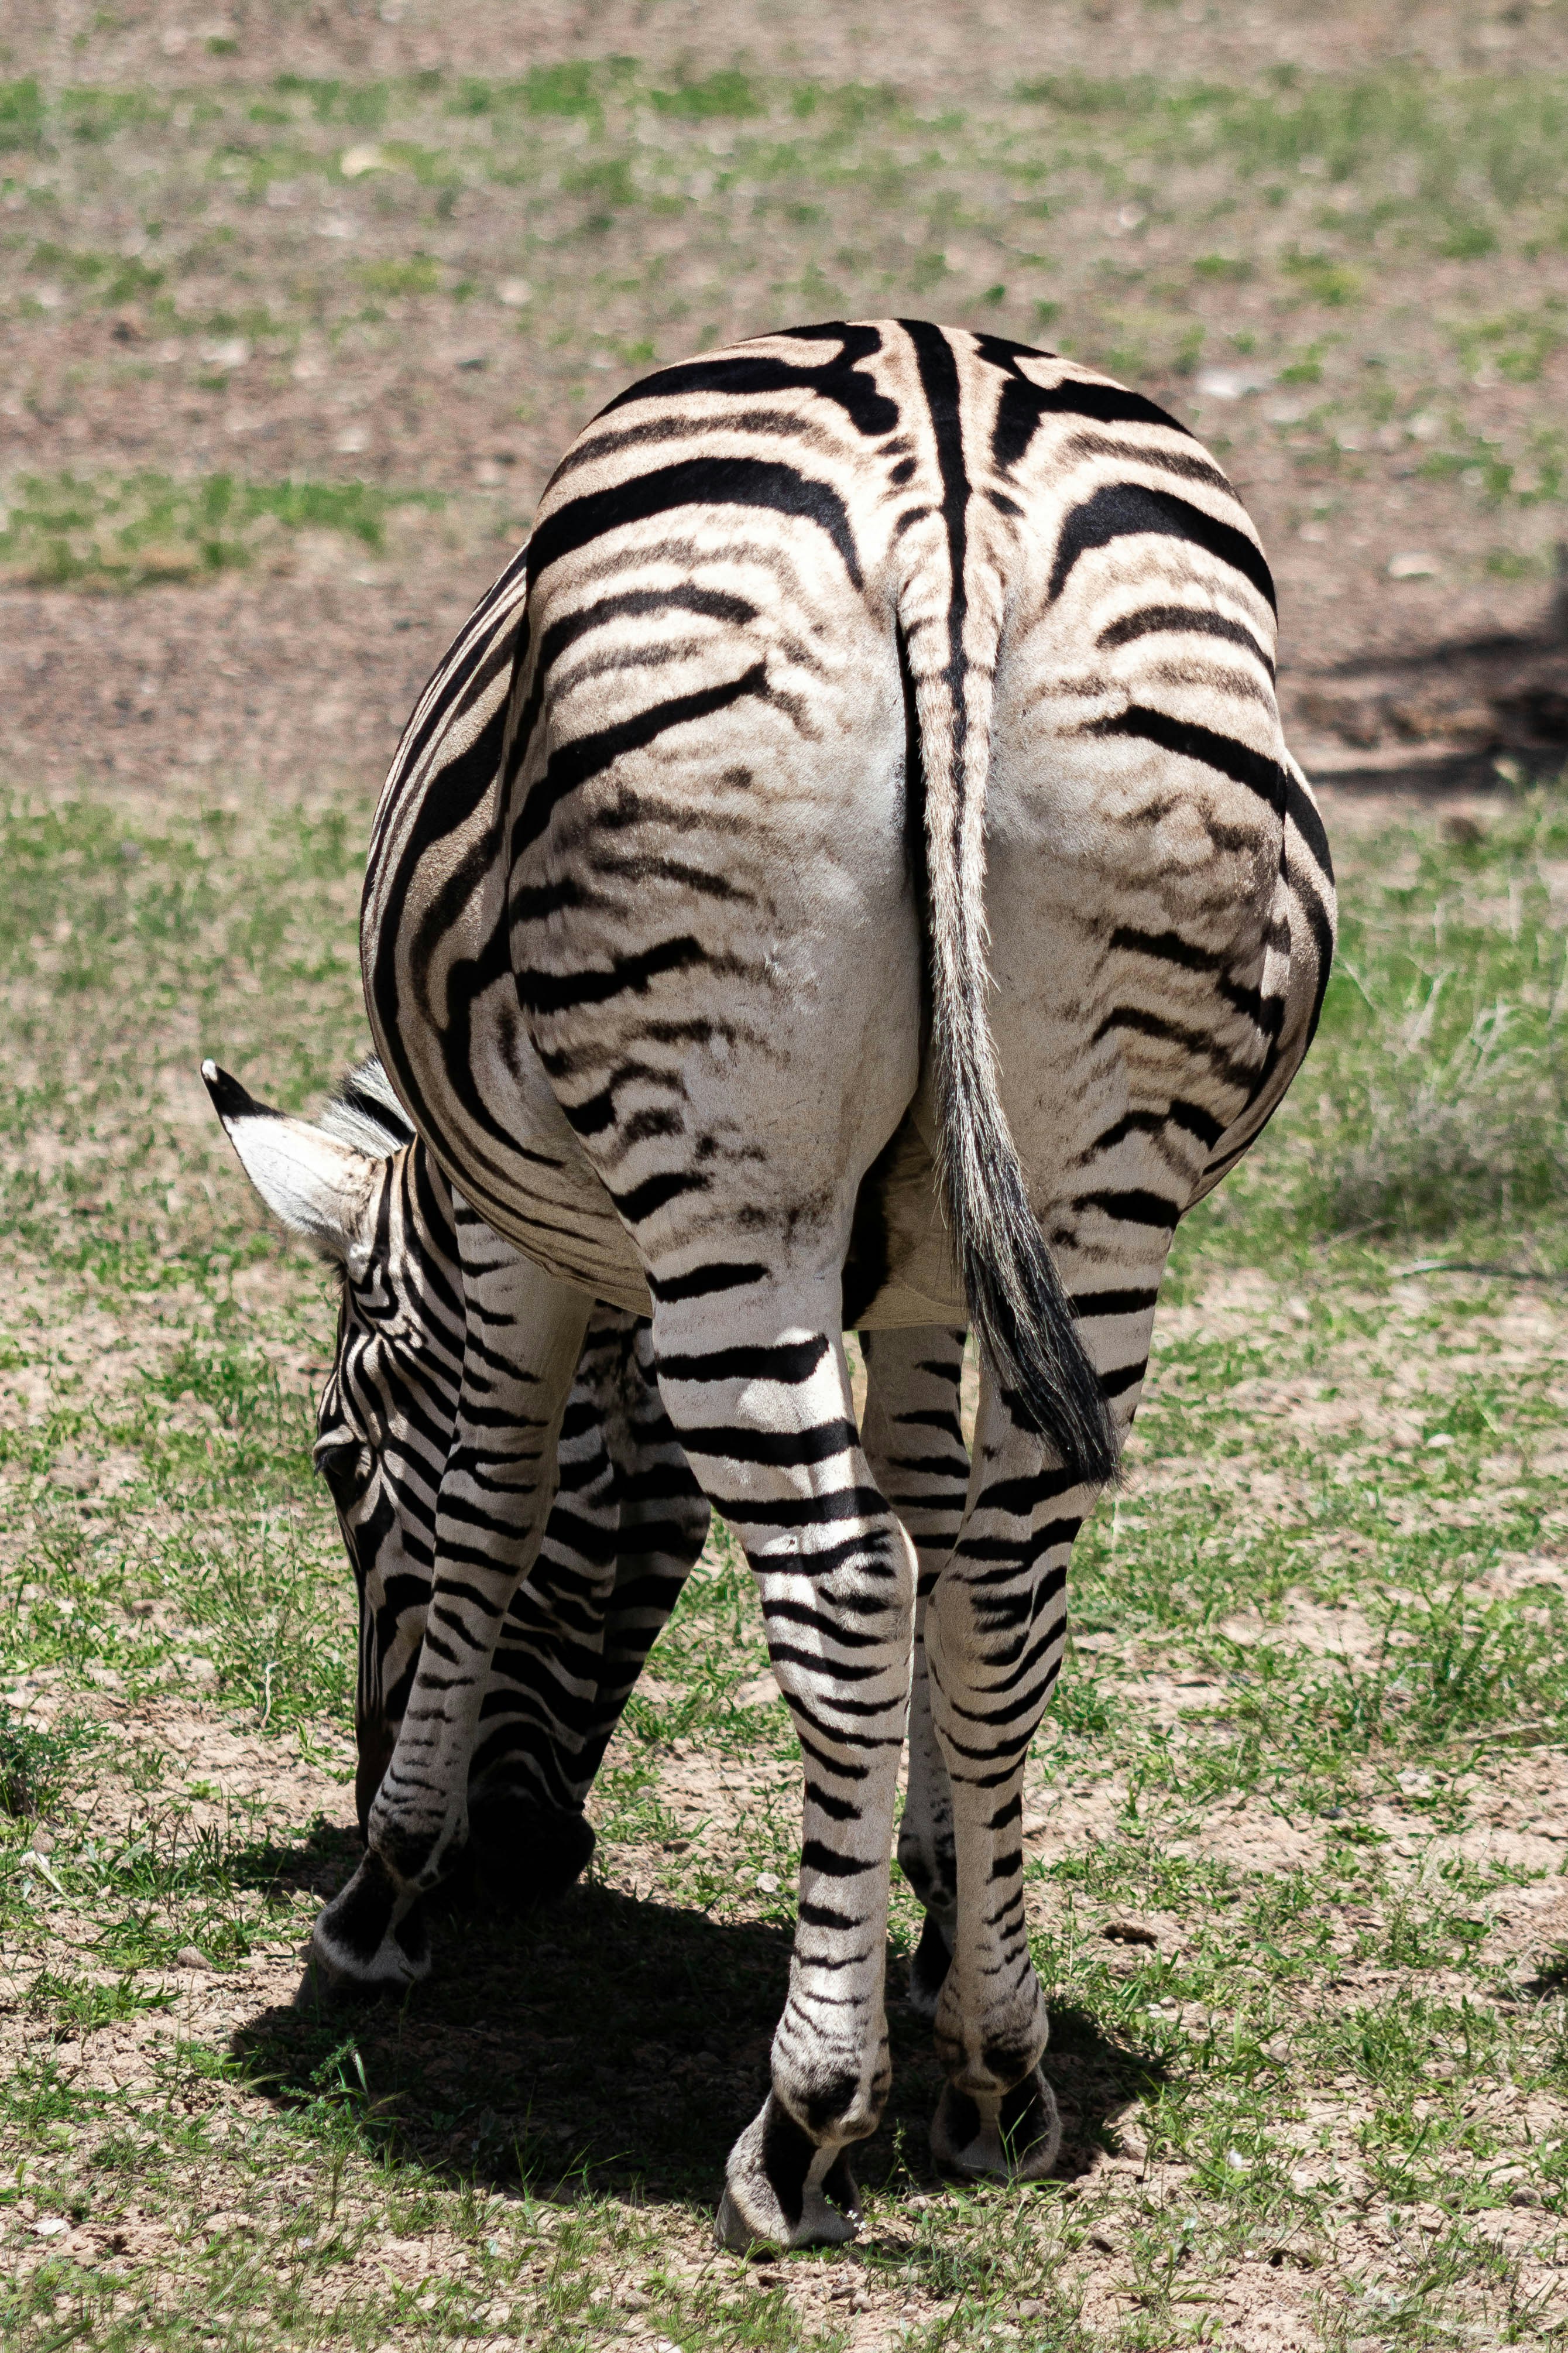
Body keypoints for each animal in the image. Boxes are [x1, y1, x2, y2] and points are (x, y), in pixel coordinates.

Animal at [204, 318, 1333, 2251]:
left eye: (338, 1466)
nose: (521, 1870)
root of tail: (947, 446)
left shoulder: (507, 1246)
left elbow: (495, 1510)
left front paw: (383, 1893)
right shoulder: (936, 1282)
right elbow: (945, 1527)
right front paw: (943, 1909)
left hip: (722, 1159)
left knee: (848, 1584)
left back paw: (801, 2123)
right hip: (1099, 1183)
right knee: (1002, 1579)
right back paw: (993, 2075)